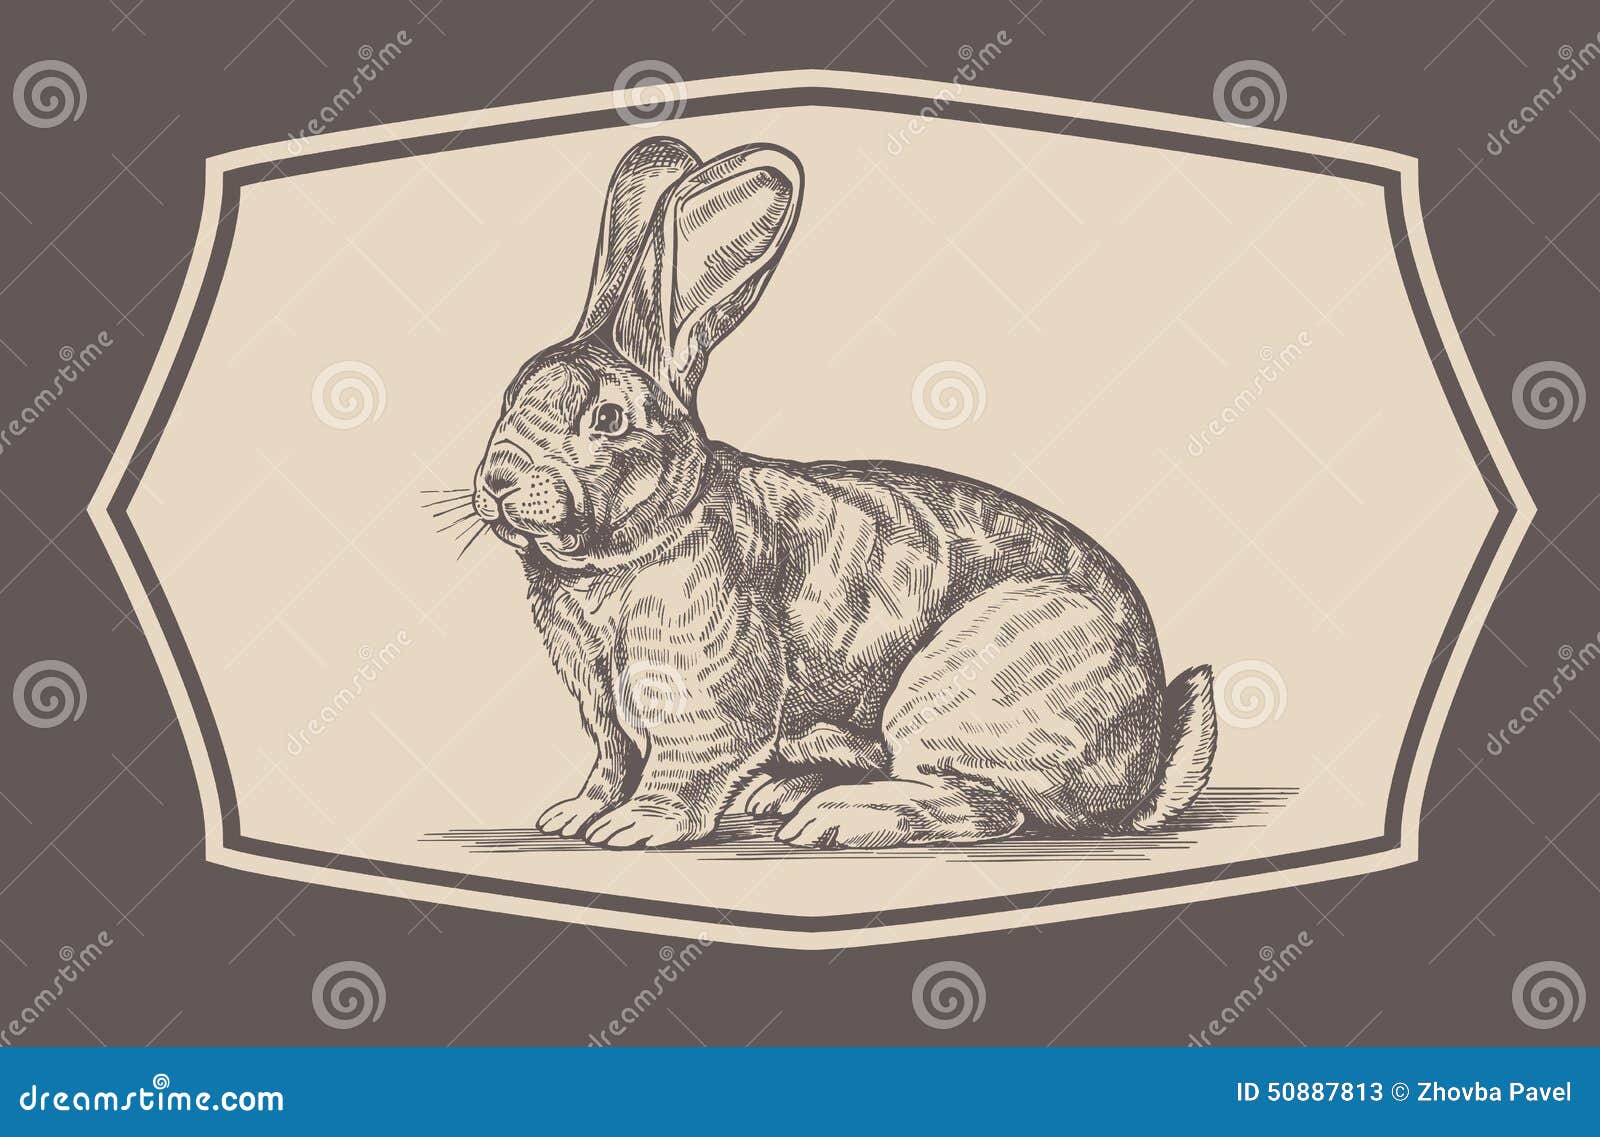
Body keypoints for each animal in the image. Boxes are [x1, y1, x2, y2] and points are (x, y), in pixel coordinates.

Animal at [466, 135, 1216, 849]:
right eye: (508, 395)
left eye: (608, 419)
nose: (497, 479)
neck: (648, 533)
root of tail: (1141, 770)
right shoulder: (601, 703)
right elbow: (611, 759)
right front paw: (573, 815)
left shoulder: (704, 691)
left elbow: (684, 765)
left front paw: (636, 827)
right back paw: (782, 794)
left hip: (965, 687)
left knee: (984, 806)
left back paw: (833, 819)